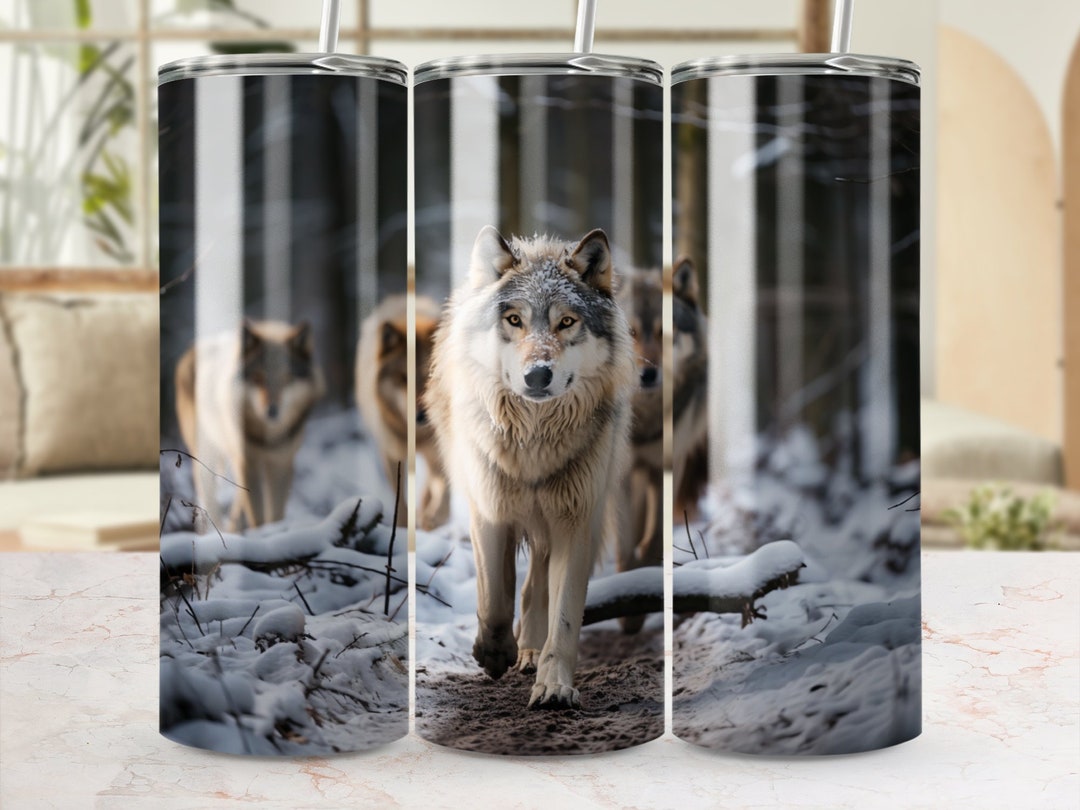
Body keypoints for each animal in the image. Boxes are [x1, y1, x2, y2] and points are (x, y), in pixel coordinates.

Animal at [175, 319, 325, 532]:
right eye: (258, 378)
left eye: (287, 379)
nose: (272, 411)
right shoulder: (249, 463)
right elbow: (257, 515)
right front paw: (262, 534)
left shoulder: (280, 462)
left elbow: (276, 514)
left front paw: (275, 532)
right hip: (208, 458)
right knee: (209, 499)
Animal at [355, 294, 450, 530]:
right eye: (402, 378)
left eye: (429, 375)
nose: (421, 416)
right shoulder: (391, 453)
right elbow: (402, 503)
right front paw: (403, 528)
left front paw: (435, 518)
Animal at [425, 226, 635, 710]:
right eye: (514, 320)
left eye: (566, 322)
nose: (538, 374)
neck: (533, 442)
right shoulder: (488, 508)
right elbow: (493, 596)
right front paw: (493, 652)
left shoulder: (576, 520)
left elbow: (564, 615)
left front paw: (554, 684)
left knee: (535, 582)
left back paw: (532, 651)